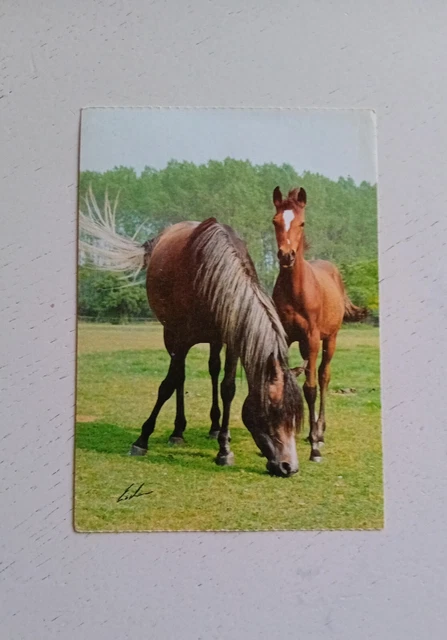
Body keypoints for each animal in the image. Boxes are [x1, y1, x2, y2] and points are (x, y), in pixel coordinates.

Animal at [79, 190, 304, 477]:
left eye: (296, 416)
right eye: (273, 410)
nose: (289, 467)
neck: (212, 272)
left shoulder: (232, 339)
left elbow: (228, 387)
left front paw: (224, 449)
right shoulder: (181, 337)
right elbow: (168, 384)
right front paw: (142, 439)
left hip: (214, 339)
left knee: (213, 370)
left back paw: (215, 429)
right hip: (171, 335)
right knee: (180, 377)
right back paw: (177, 432)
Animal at [271, 186, 367, 462]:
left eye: (302, 222)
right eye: (275, 221)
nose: (286, 256)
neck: (297, 291)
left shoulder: (313, 338)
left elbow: (311, 387)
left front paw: (314, 447)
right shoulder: (285, 337)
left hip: (330, 339)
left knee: (323, 377)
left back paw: (319, 433)